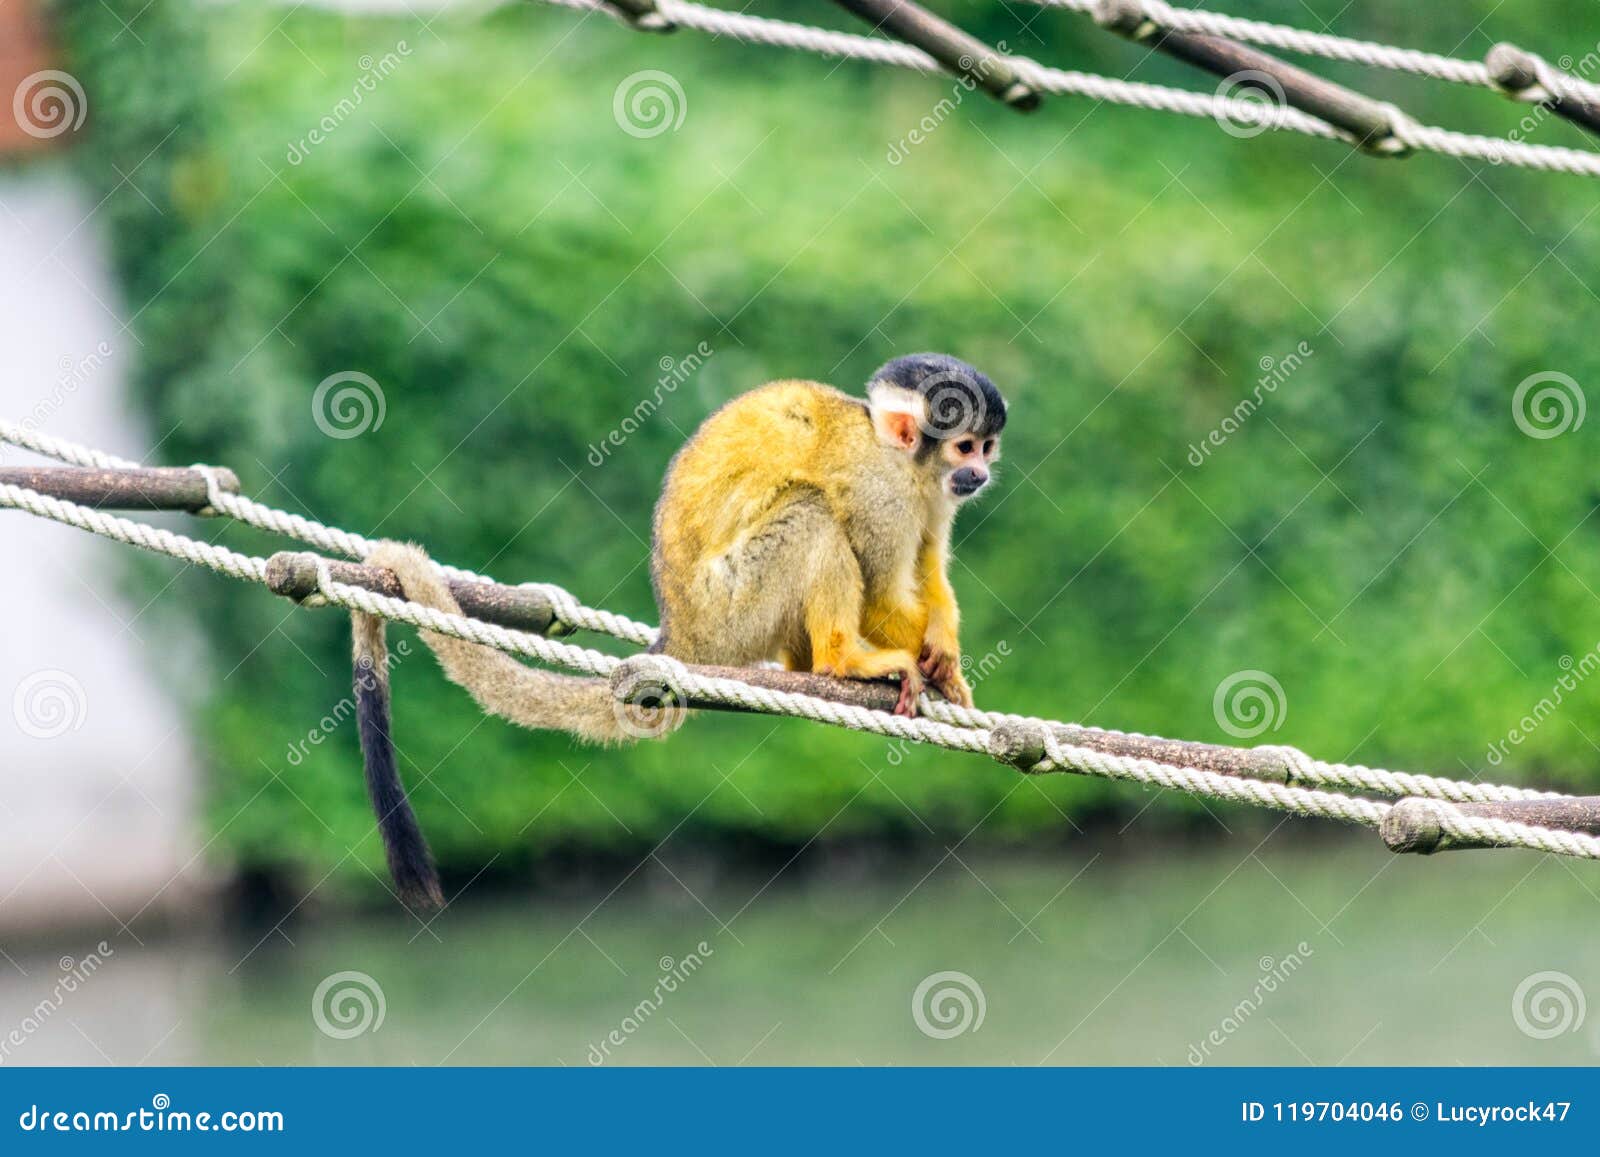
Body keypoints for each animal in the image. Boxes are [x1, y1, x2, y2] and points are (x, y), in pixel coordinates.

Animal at [348, 353, 1006, 904]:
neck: (905, 465)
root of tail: (683, 632)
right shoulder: (881, 493)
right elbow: (882, 583)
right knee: (813, 509)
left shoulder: (930, 499)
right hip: (734, 608)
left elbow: (927, 568)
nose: (977, 473)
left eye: (987, 447)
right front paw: (924, 661)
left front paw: (946, 660)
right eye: (964, 447)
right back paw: (840, 661)